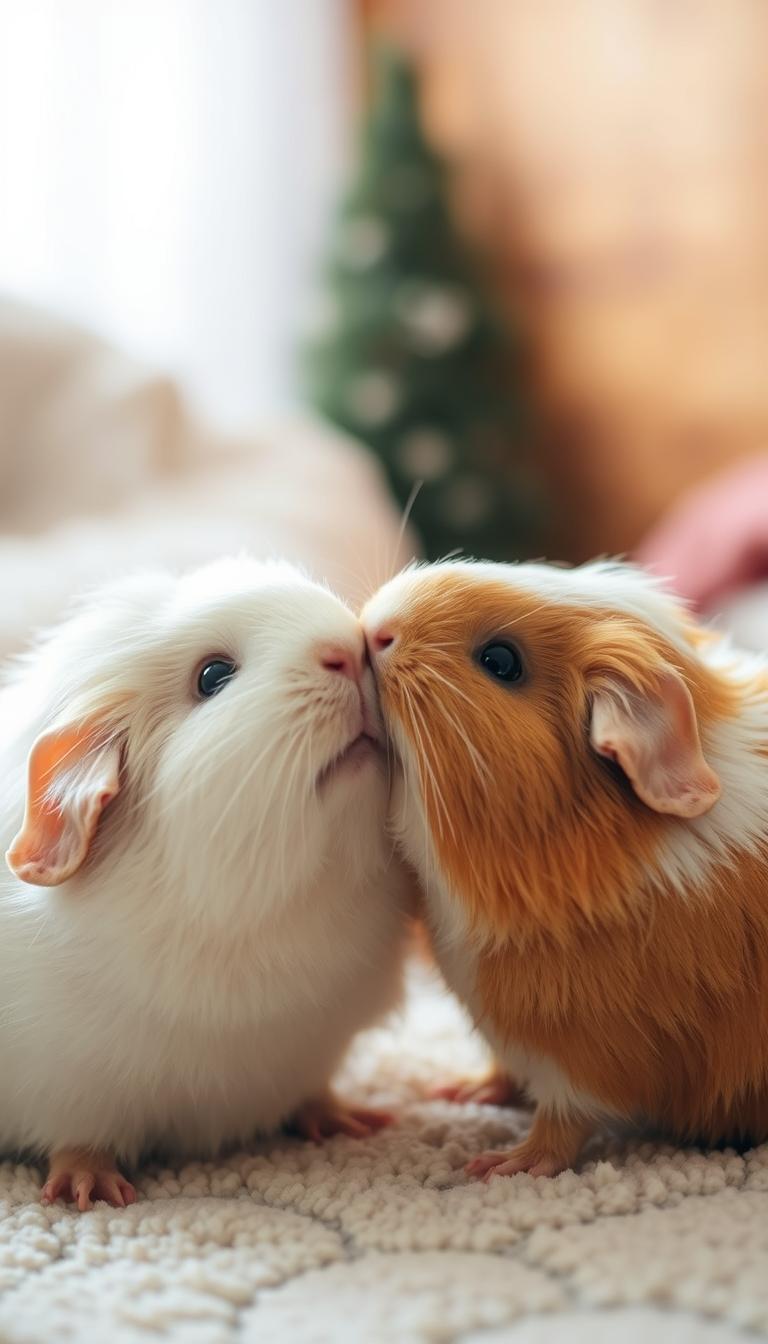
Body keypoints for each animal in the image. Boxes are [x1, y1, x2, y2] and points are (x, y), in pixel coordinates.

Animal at [0, 555, 409, 1209]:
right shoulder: (63, 1085)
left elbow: (312, 1091)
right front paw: (92, 1192)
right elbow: (78, 1139)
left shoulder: (314, 1048)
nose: (349, 651)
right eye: (213, 676)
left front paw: (351, 1122)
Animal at [361, 558, 768, 1178]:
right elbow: (506, 1072)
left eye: (501, 661)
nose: (376, 629)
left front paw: (498, 1166)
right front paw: (461, 1092)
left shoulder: (590, 1051)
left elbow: (564, 1120)